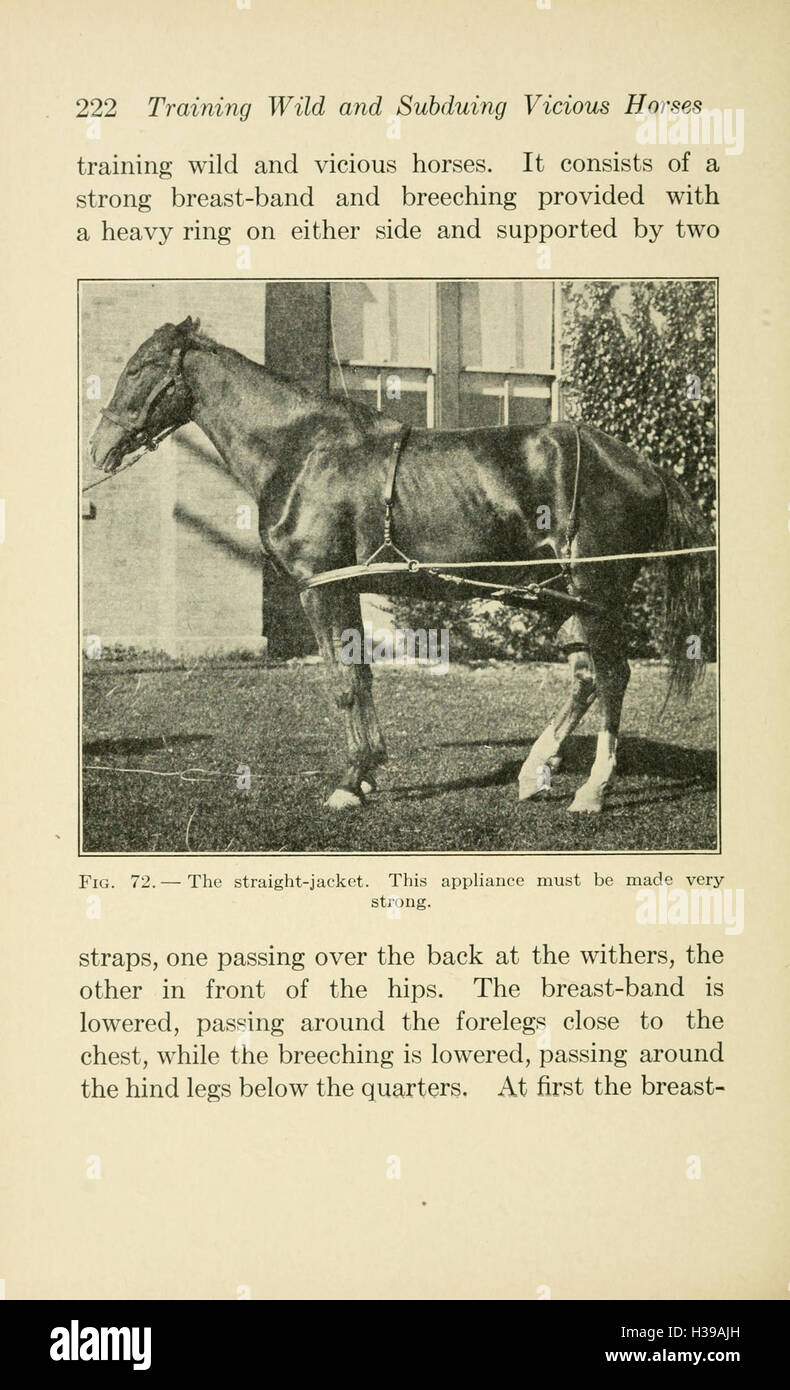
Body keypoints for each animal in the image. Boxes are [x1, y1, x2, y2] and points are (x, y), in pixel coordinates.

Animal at [88, 315, 714, 815]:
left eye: (140, 368)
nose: (98, 447)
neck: (304, 449)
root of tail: (644, 466)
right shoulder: (342, 587)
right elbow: (360, 675)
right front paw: (366, 773)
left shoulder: (320, 586)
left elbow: (344, 683)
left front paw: (348, 783)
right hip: (563, 595)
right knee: (586, 676)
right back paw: (536, 771)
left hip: (597, 591)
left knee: (612, 678)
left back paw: (592, 791)